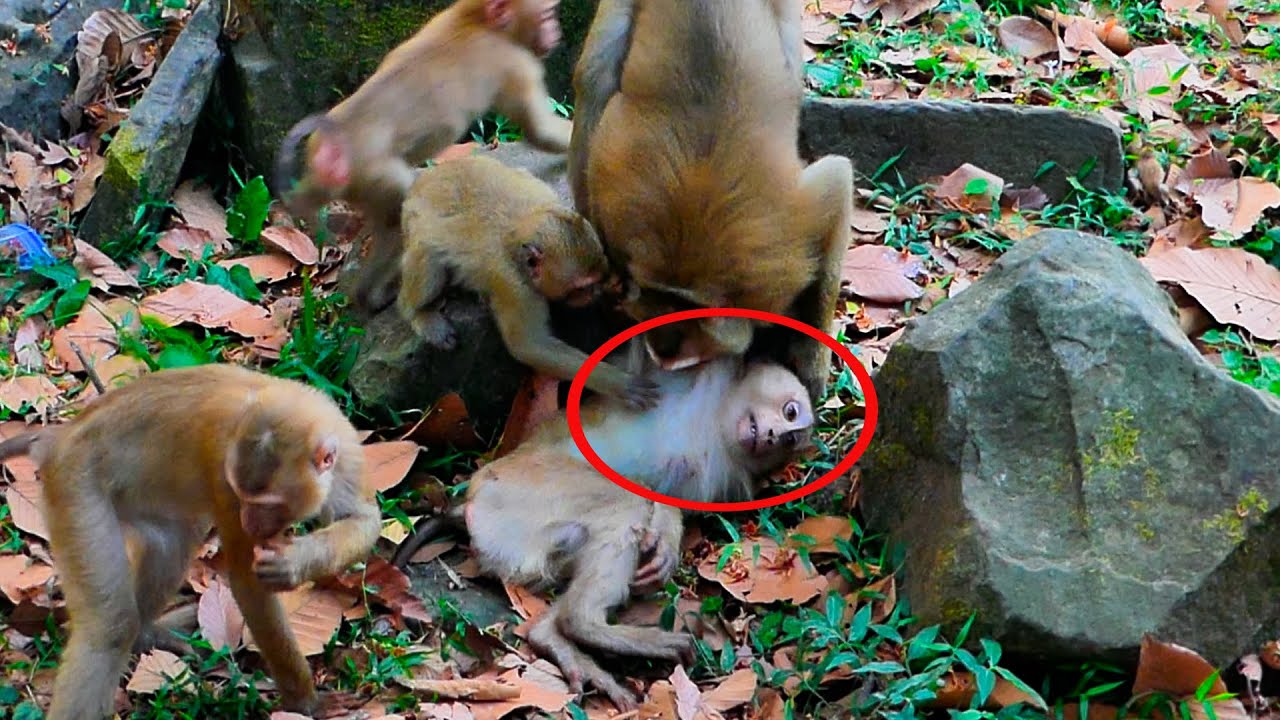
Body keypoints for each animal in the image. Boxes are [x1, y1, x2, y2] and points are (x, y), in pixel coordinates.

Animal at [0, 365, 380, 720]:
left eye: (267, 504)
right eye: (244, 499)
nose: (249, 522)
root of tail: (60, 437)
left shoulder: (347, 447)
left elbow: (364, 520)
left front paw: (294, 562)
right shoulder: (223, 470)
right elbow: (248, 585)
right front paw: (306, 702)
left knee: (172, 545)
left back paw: (148, 635)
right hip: (75, 487)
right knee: (111, 625)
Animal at [274, 0, 574, 313]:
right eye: (547, 14)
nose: (555, 31)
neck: (476, 20)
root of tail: (332, 146)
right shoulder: (517, 64)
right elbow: (539, 131)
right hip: (372, 177)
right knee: (401, 204)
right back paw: (378, 295)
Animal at [397, 155, 658, 409]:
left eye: (597, 279)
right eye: (582, 287)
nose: (594, 293)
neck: (520, 229)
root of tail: (422, 179)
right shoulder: (513, 285)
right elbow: (529, 345)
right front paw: (618, 383)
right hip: (412, 223)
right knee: (427, 258)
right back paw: (420, 315)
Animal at [566, 0, 853, 405]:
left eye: (685, 324)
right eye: (656, 316)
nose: (663, 351)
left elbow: (837, 184)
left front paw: (812, 356)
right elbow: (838, 181)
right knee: (594, 78)